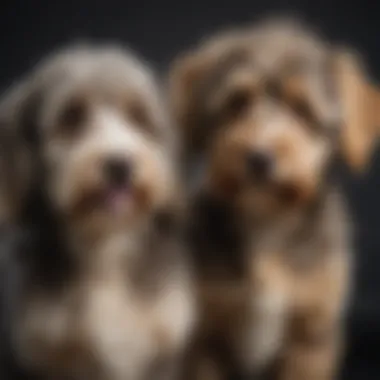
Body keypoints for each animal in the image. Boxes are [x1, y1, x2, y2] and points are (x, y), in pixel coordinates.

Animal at [0, 44, 196, 380]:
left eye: (138, 116)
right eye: (71, 117)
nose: (119, 164)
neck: (107, 244)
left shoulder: (163, 352)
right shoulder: (37, 354)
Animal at [171, 17, 380, 380]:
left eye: (303, 110)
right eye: (237, 102)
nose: (258, 158)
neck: (267, 219)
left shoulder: (310, 333)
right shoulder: (206, 335)